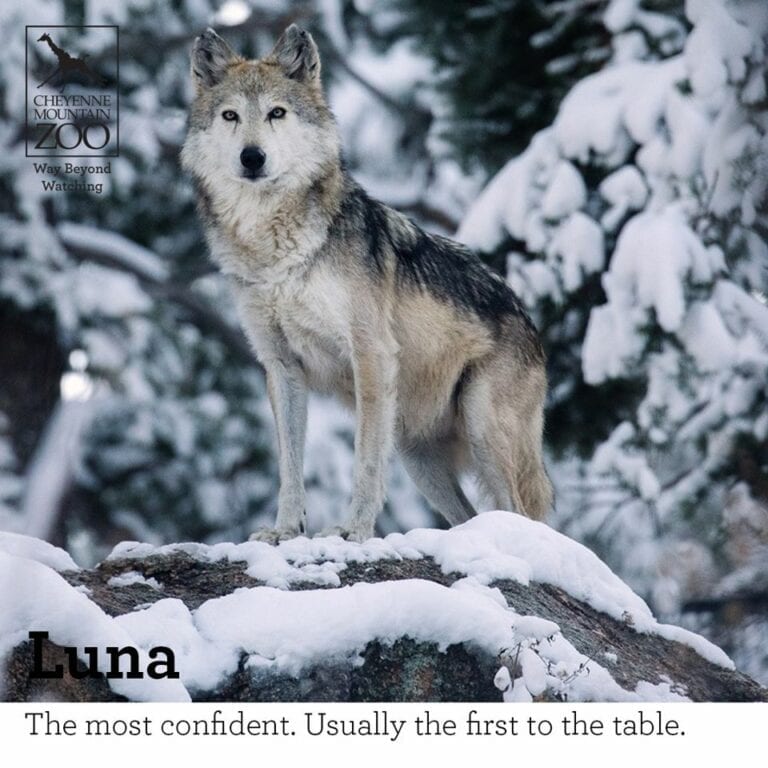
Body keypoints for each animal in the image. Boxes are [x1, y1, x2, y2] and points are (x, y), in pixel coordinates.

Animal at [181, 26, 553, 542]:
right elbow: (289, 467)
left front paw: (353, 531)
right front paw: (284, 532)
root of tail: (529, 320)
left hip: (483, 429)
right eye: (230, 116)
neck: (278, 256)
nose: (252, 158)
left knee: (520, 512)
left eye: (277, 113)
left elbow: (365, 462)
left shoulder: (370, 353)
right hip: (420, 458)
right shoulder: (281, 367)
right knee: (470, 514)